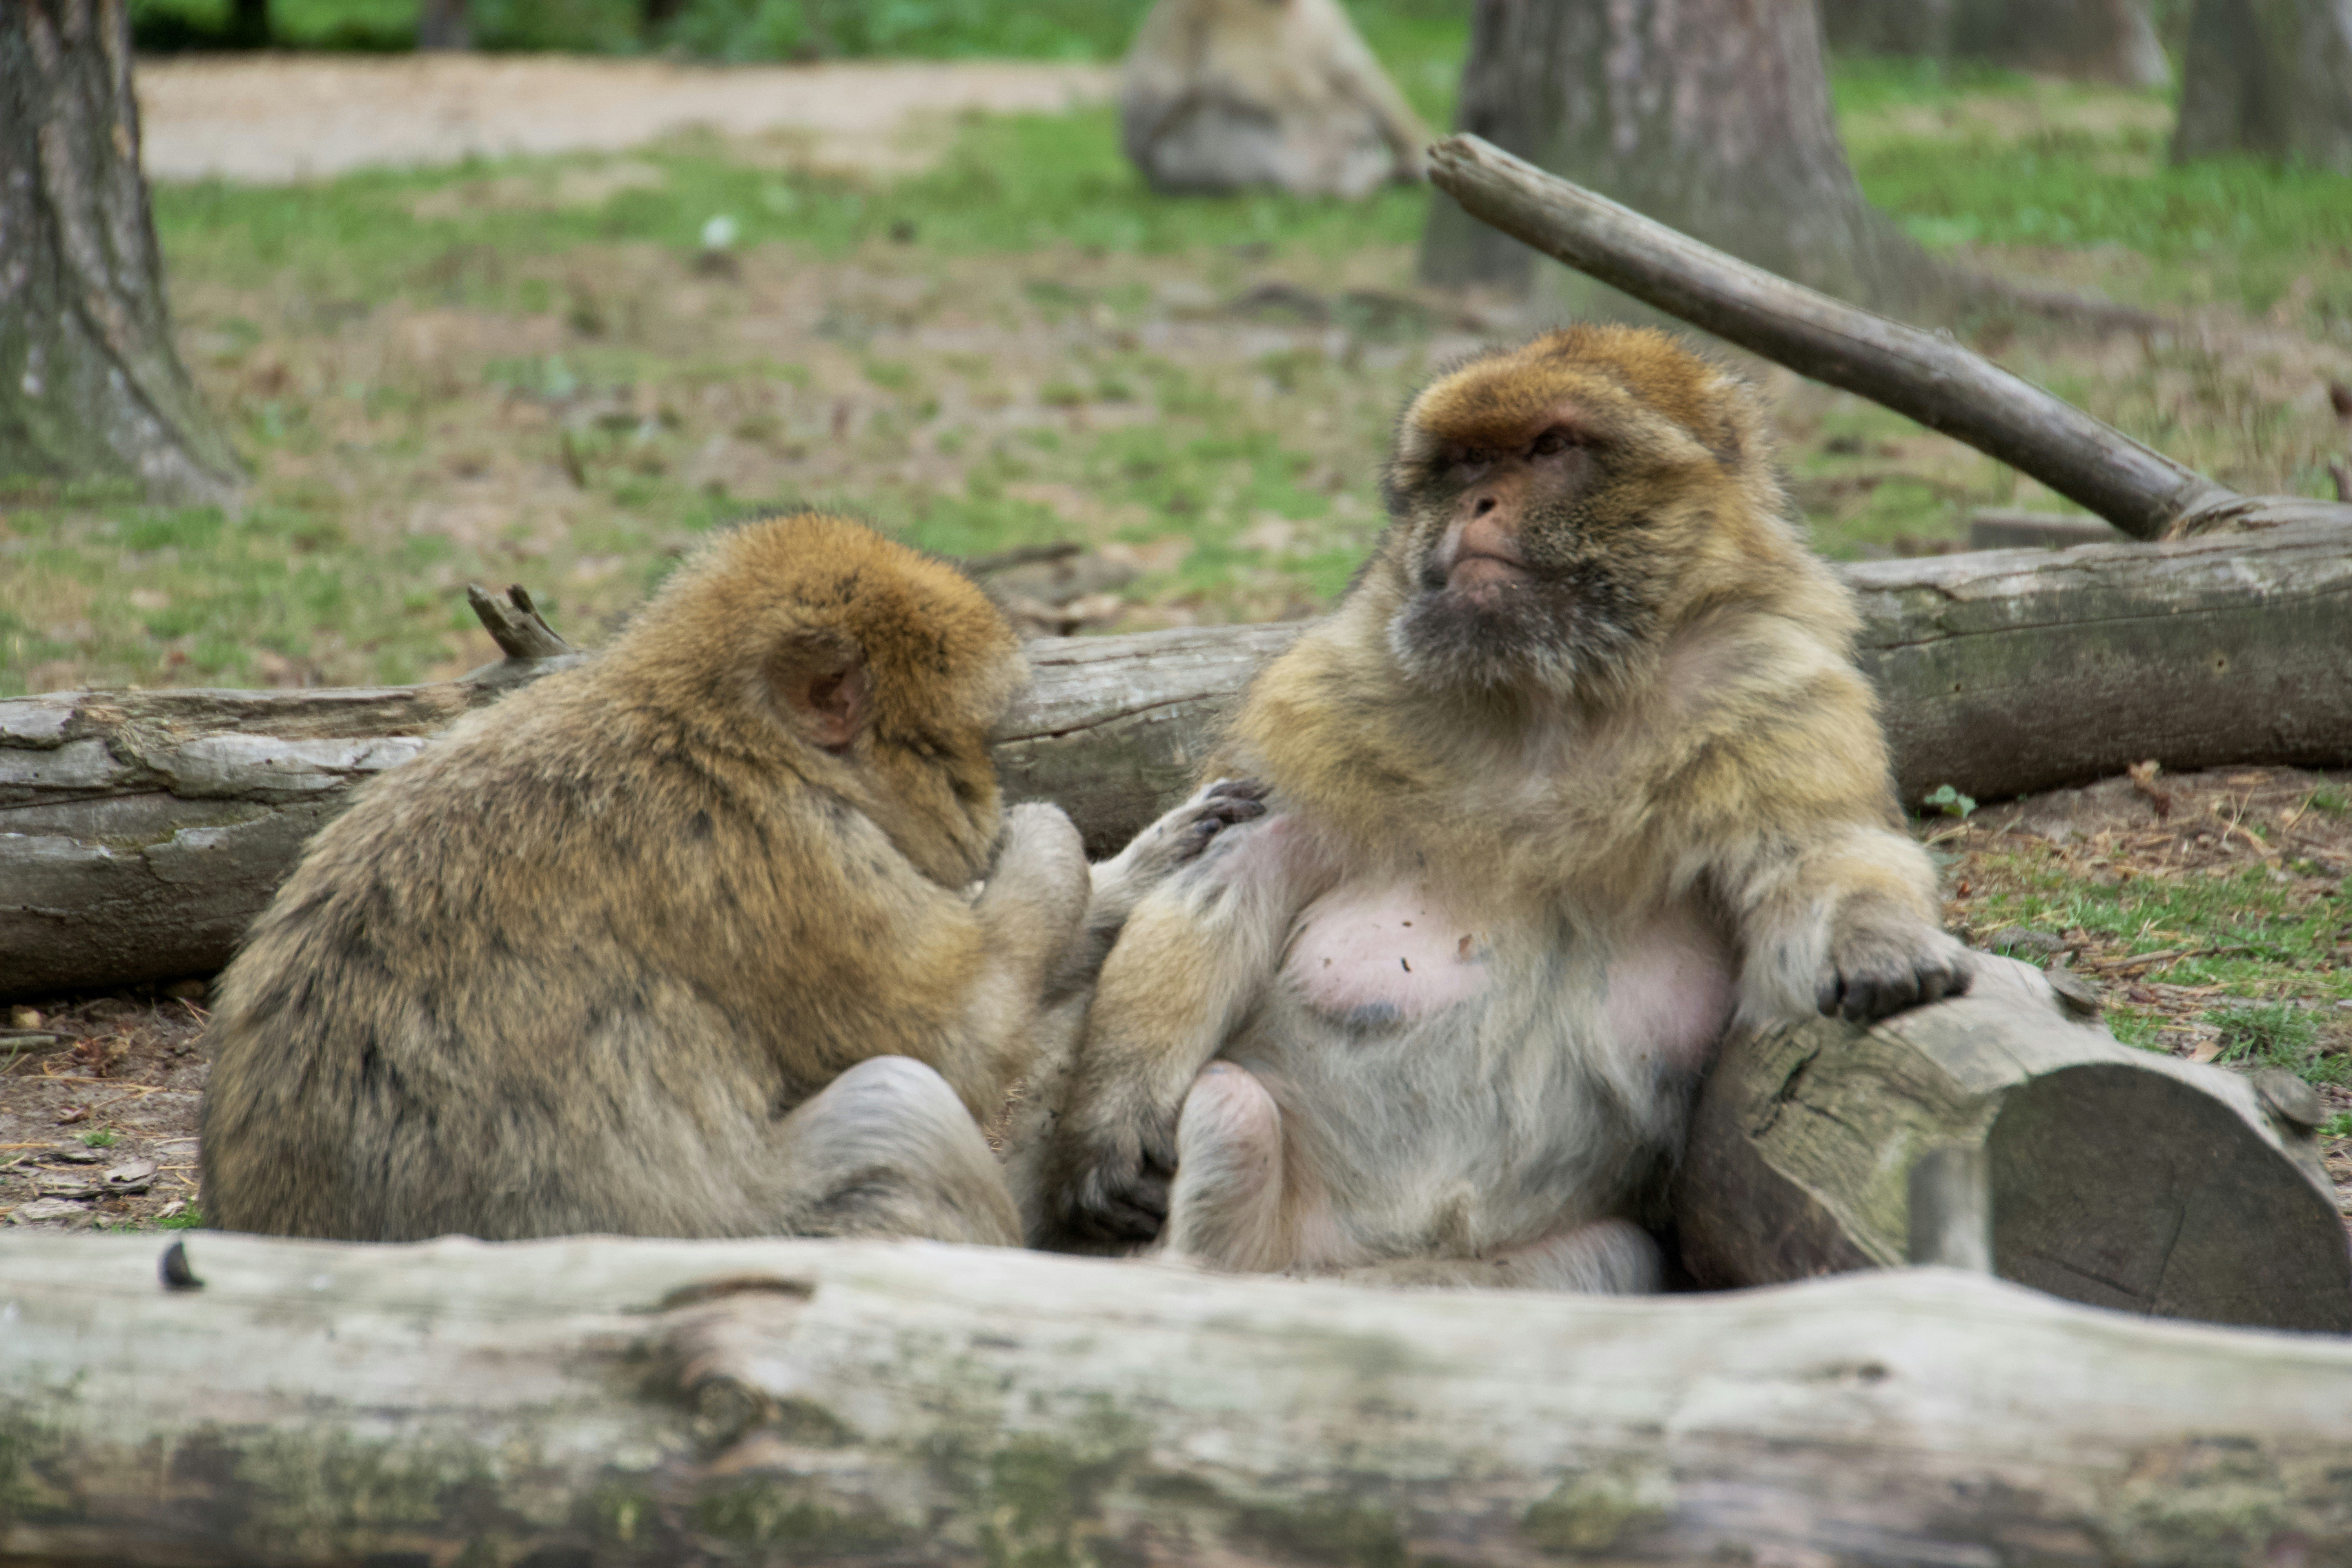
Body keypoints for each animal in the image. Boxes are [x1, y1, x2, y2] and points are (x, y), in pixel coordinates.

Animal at [197, 512, 1256, 1246]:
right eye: (955, 752)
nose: (984, 811)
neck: (719, 732)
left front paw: (1141, 867)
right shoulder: (795, 867)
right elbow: (960, 1026)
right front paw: (1046, 837)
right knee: (897, 1114)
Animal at [1042, 326, 1974, 1289]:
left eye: (1550, 447)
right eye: (1466, 461)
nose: (1480, 501)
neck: (1549, 699)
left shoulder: (1783, 694)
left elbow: (1820, 856)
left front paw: (1879, 940)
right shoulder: (1331, 697)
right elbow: (1234, 871)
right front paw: (1112, 1117)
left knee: (1620, 1256)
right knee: (1232, 1106)